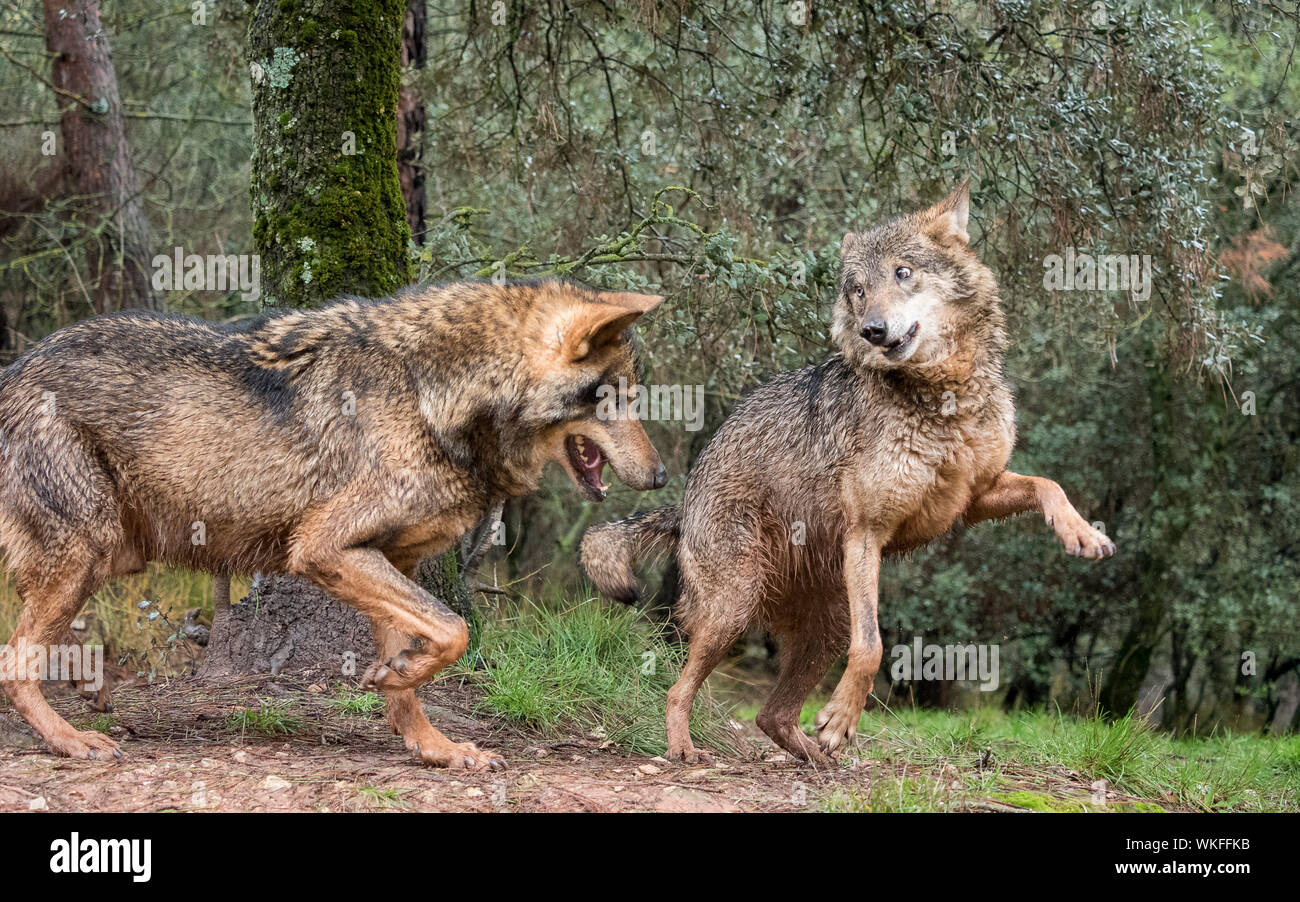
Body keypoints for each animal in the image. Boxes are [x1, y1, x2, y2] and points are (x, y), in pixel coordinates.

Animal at [0, 279, 666, 769]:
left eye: (636, 395)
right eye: (613, 397)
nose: (662, 477)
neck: (433, 396)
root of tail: (15, 369)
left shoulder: (389, 559)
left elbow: (418, 673)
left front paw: (434, 745)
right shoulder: (324, 549)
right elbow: (455, 631)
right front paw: (402, 683)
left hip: (102, 559)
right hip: (87, 555)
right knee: (15, 663)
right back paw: (70, 739)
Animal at [581, 182, 1115, 765]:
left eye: (903, 272)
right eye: (858, 289)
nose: (872, 329)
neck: (944, 400)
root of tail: (684, 500)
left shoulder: (971, 499)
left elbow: (1048, 484)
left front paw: (1083, 533)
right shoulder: (866, 532)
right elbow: (874, 646)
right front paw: (841, 719)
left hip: (825, 624)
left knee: (771, 714)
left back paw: (821, 761)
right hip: (735, 609)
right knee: (680, 688)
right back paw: (685, 749)